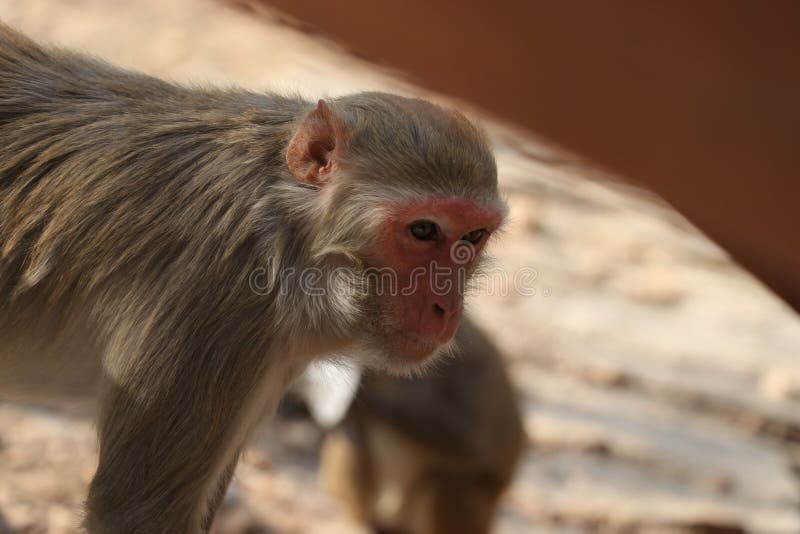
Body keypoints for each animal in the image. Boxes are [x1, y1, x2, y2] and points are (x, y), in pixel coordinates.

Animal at [0, 22, 506, 534]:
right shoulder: (216, 295)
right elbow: (134, 509)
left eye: (473, 237)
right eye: (423, 230)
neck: (288, 241)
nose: (447, 309)